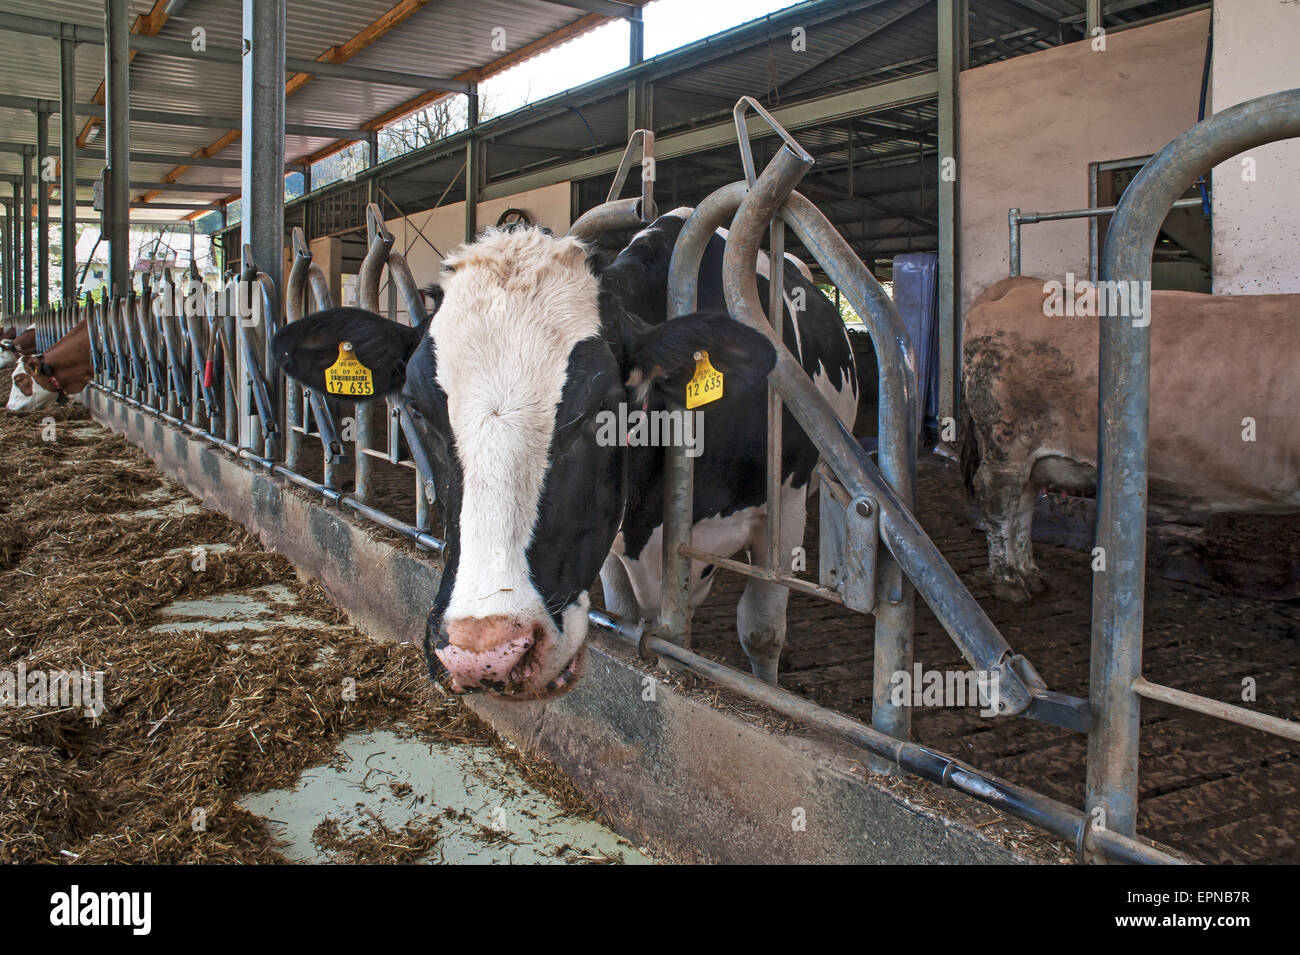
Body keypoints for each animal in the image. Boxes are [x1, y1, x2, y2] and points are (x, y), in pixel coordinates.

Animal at [273, 212, 857, 698]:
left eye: (602, 408)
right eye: (416, 409)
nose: (484, 654)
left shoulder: (783, 505)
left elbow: (761, 631)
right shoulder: (616, 544)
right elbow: (628, 615)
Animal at [961, 276, 1300, 603]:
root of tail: (1021, 284)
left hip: (1030, 454)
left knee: (1024, 500)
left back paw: (1029, 574)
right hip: (1007, 441)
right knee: (999, 500)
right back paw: (1008, 580)